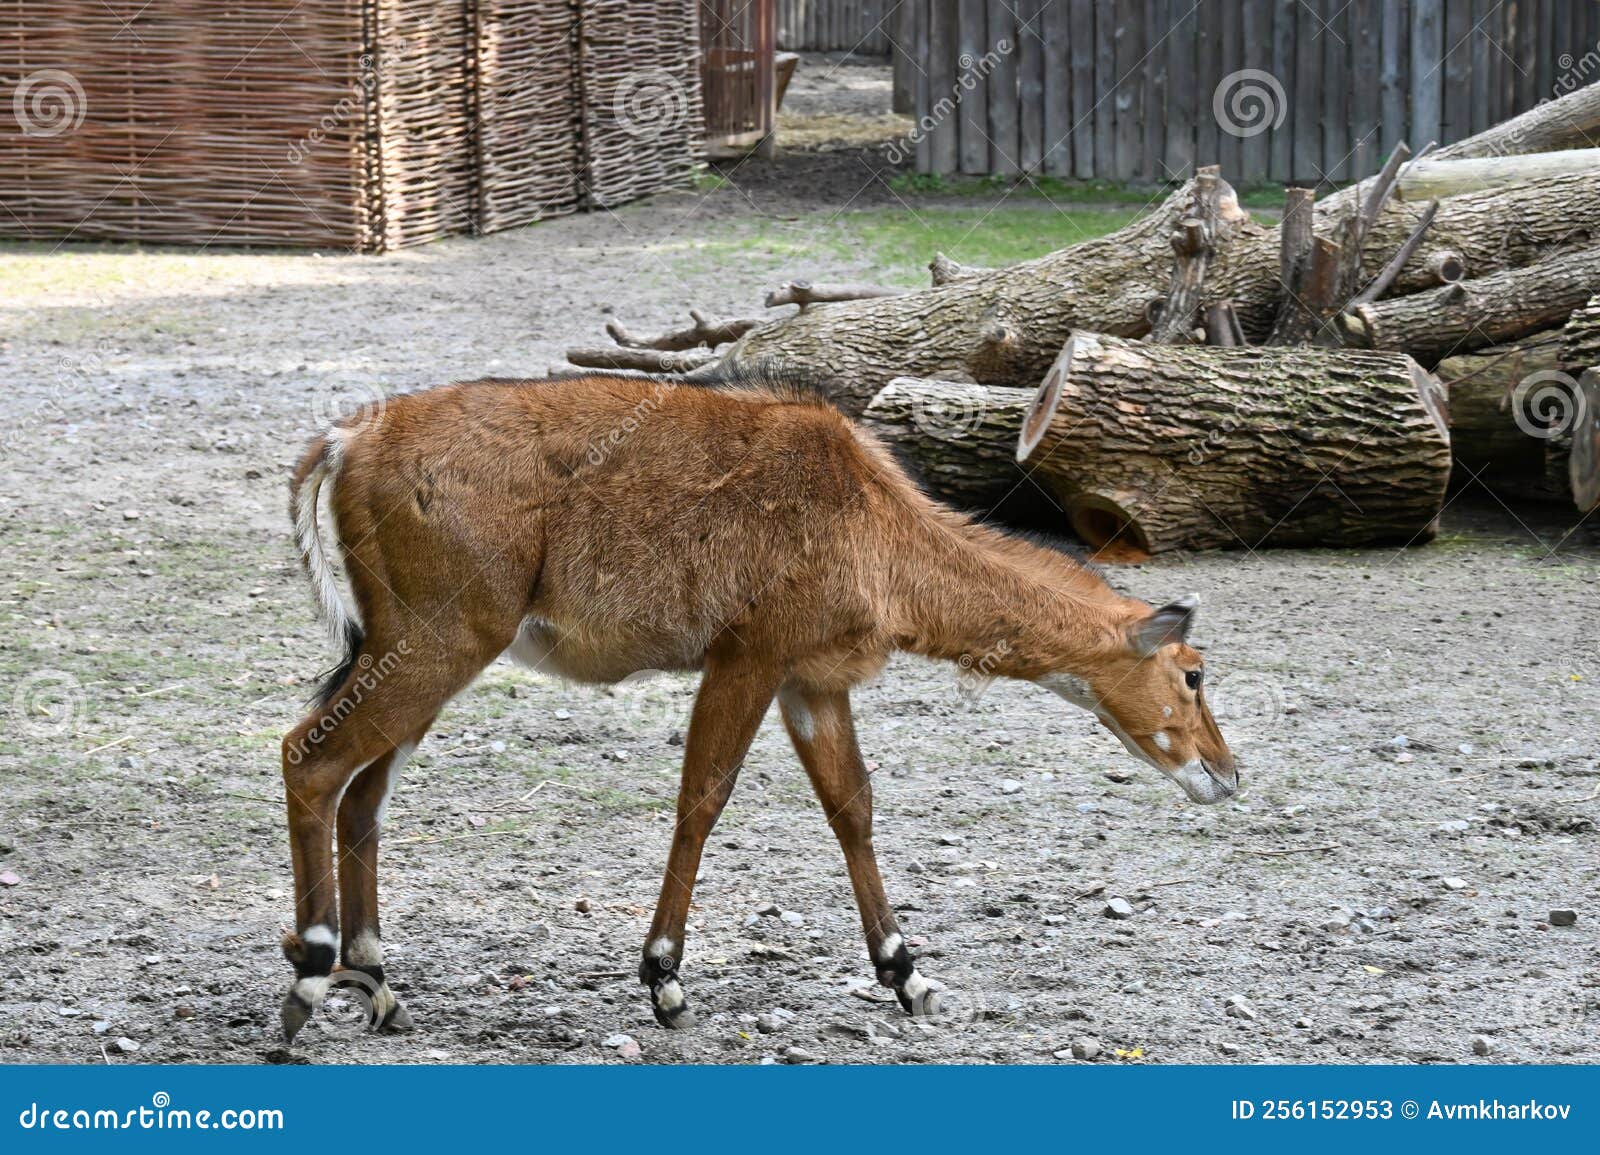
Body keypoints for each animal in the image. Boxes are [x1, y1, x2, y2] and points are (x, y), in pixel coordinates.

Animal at [278, 372, 1236, 1041]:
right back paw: (311, 973)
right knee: (309, 757)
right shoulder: (749, 654)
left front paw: (907, 972)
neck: (878, 526)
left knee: (361, 794)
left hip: (415, 651)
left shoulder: (811, 680)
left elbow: (852, 806)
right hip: (440, 643)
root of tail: (342, 441)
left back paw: (378, 985)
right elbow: (702, 798)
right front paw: (664, 979)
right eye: (1194, 672)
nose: (1226, 774)